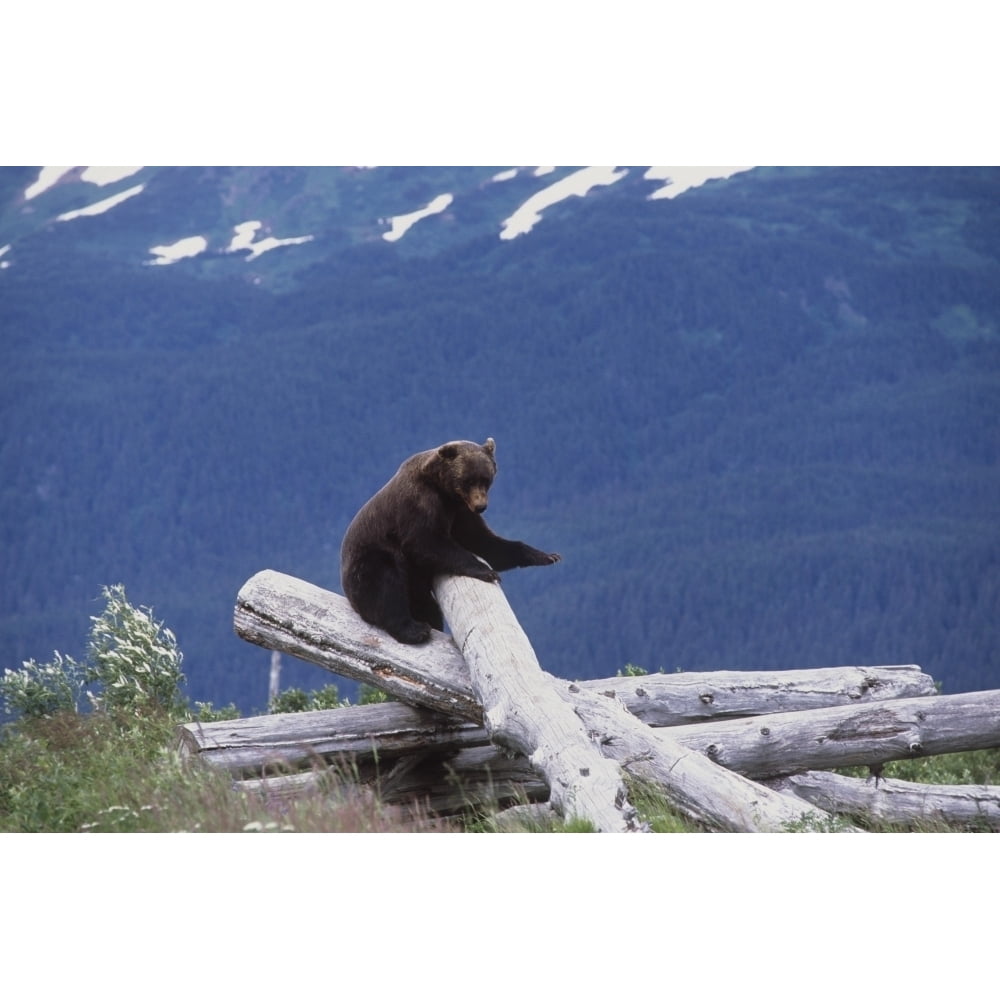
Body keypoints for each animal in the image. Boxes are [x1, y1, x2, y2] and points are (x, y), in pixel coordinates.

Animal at [341, 437, 560, 644]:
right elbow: (427, 543)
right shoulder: (419, 506)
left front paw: (548, 556)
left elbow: (485, 541)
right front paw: (487, 572)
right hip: (372, 559)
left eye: (486, 479)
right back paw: (415, 630)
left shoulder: (460, 513)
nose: (481, 506)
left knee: (427, 606)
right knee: (387, 587)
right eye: (468, 480)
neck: (444, 492)